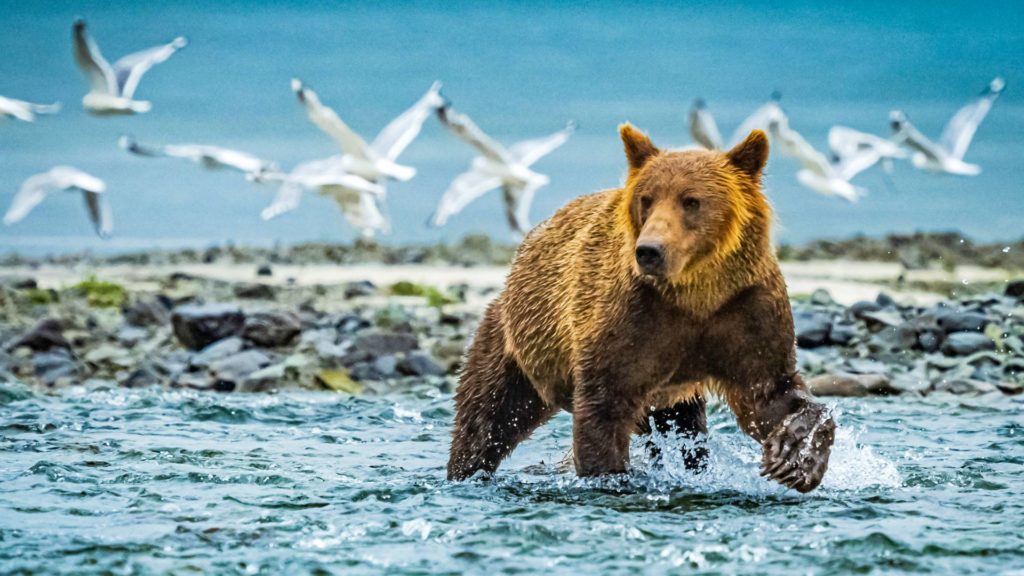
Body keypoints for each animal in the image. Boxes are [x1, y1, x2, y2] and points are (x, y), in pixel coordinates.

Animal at [447, 124, 836, 493]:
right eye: (647, 199)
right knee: (488, 416)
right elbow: (604, 406)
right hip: (518, 343)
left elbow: (770, 393)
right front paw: (609, 476)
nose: (650, 250)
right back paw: (467, 470)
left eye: (691, 200)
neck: (695, 294)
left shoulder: (744, 309)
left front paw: (795, 456)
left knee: (685, 431)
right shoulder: (632, 318)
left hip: (672, 395)